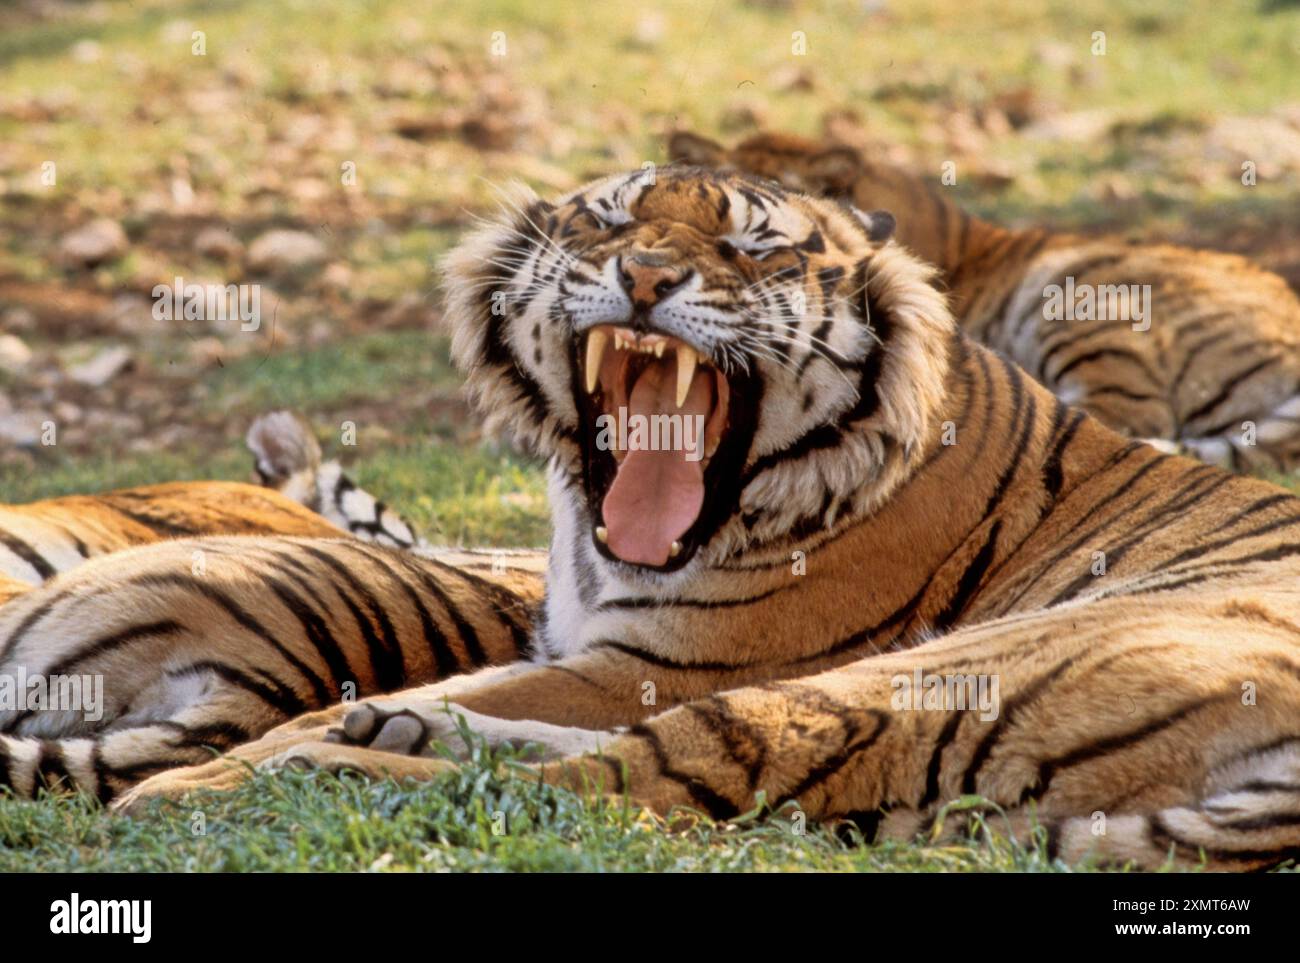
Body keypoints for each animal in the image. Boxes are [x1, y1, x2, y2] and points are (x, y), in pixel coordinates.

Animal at [3, 166, 1300, 871]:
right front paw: (384, 711)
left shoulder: (659, 660)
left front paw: (251, 759)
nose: (643, 279)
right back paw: (388, 730)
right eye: (609, 225)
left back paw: (256, 777)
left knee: (659, 777)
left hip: (959, 666)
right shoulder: (575, 641)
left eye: (749, 245)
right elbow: (470, 679)